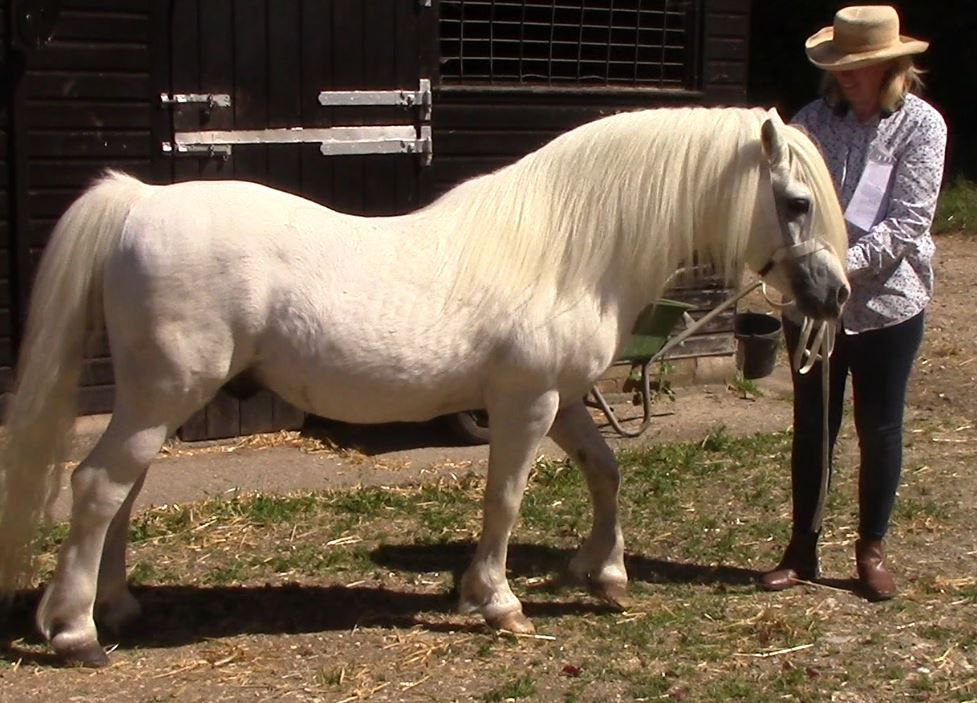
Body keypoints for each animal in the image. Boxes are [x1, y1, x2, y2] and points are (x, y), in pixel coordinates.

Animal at [0, 106, 849, 666]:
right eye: (796, 201)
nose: (835, 296)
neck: (565, 249)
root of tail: (139, 200)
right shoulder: (525, 403)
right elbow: (504, 499)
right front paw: (497, 602)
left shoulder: (562, 400)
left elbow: (605, 470)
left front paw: (605, 575)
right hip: (161, 396)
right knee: (97, 487)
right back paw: (75, 632)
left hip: (155, 401)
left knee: (122, 493)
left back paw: (116, 606)